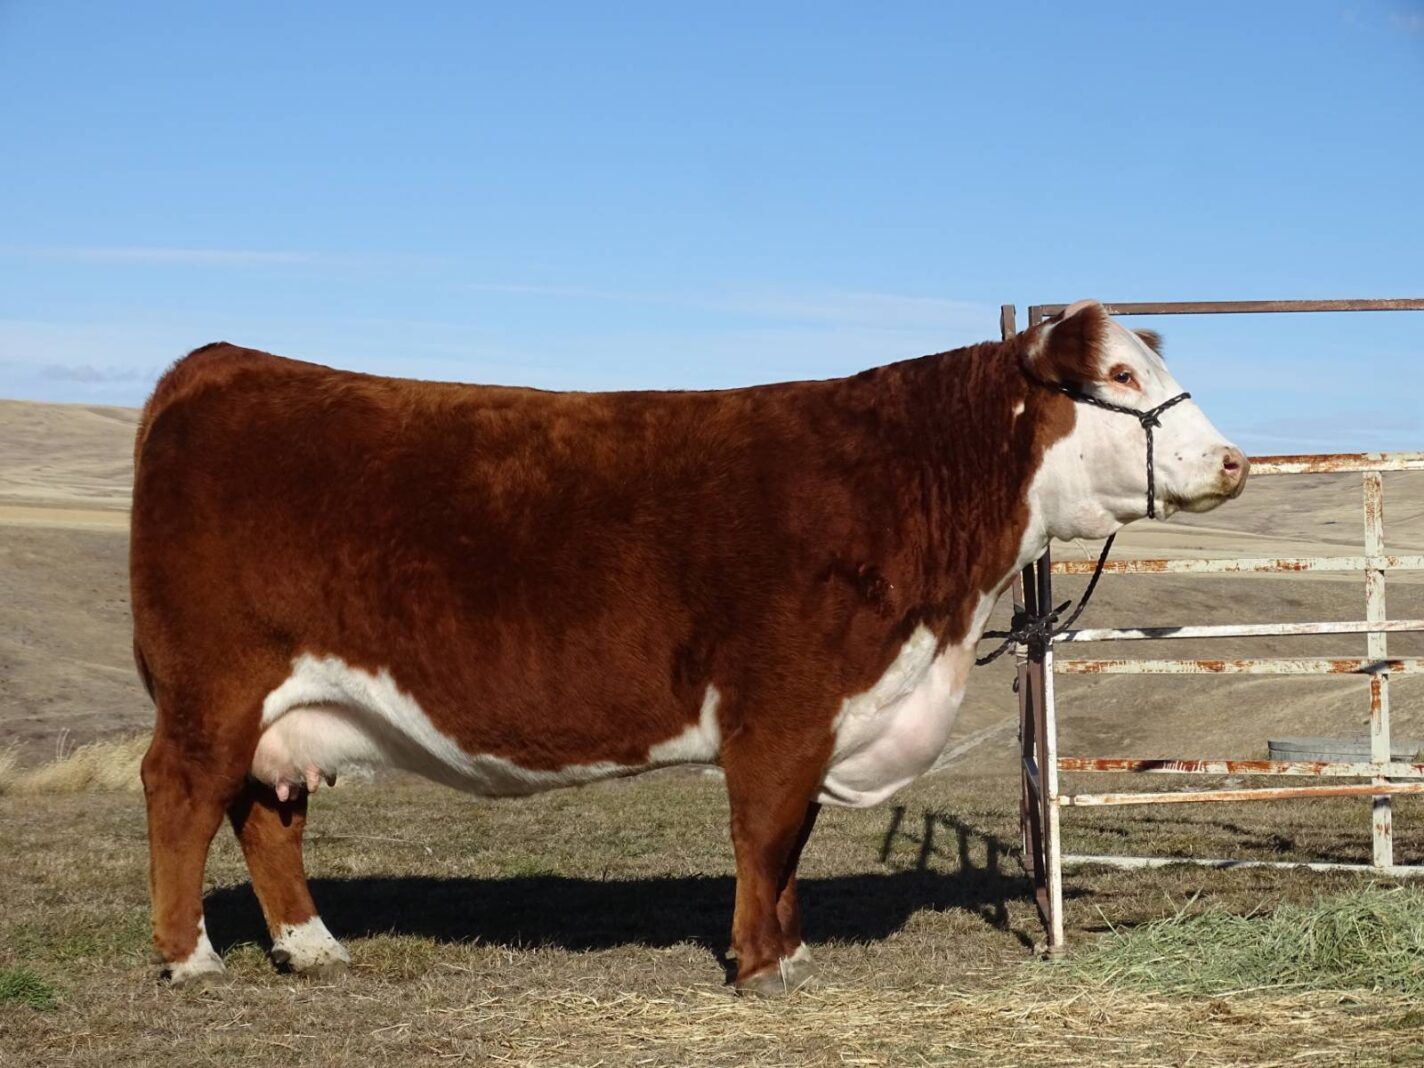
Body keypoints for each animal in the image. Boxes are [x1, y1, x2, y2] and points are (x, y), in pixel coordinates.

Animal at [130, 299, 1247, 994]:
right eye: (1119, 372)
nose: (1233, 460)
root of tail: (216, 364)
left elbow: (790, 843)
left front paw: (787, 952)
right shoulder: (783, 707)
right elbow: (766, 833)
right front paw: (760, 965)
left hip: (283, 705)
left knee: (266, 810)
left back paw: (312, 949)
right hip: (212, 688)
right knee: (183, 792)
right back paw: (190, 960)